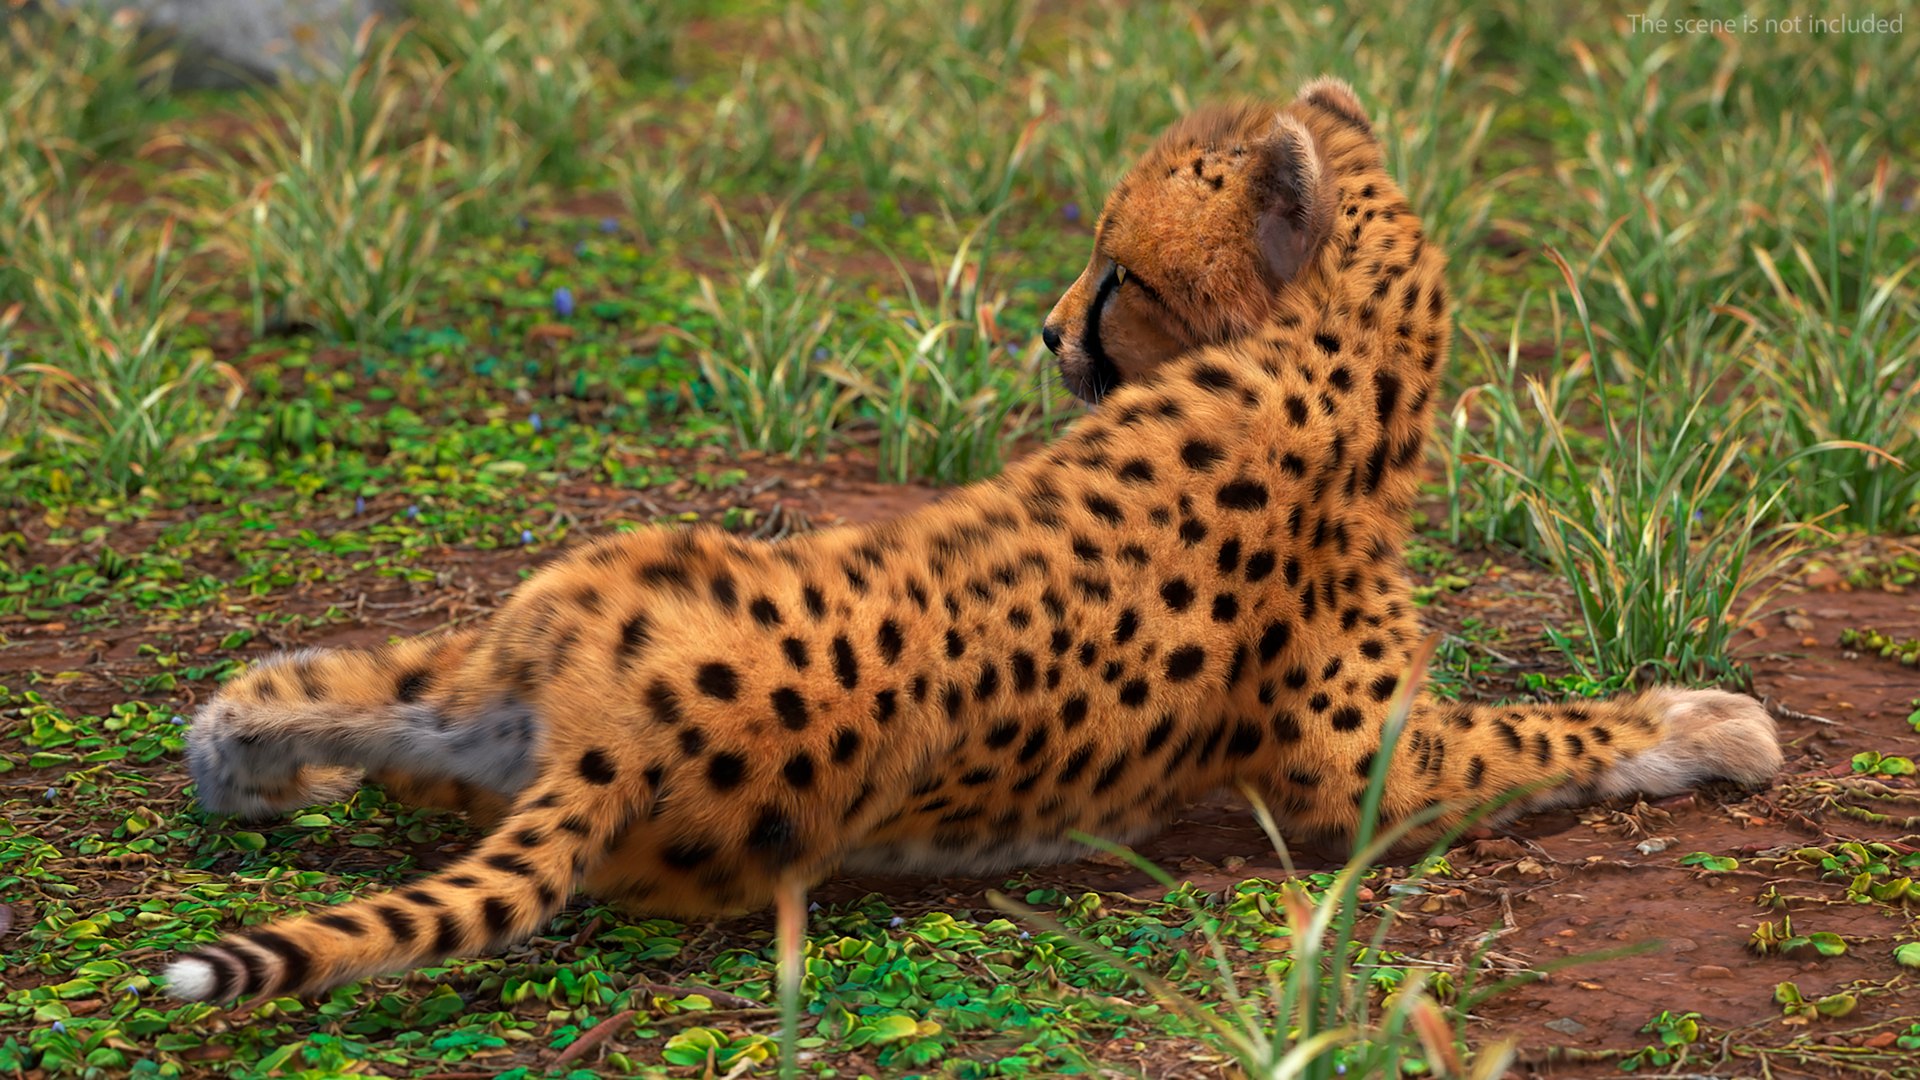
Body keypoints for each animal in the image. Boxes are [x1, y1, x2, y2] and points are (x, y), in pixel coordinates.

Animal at [158, 79, 1782, 1004]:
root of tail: (610, 746)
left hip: (530, 641)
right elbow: (1550, 733)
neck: (1336, 354)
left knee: (338, 690)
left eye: (1122, 275)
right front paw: (1708, 721)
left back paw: (254, 767)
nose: (1049, 332)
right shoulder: (1367, 770)